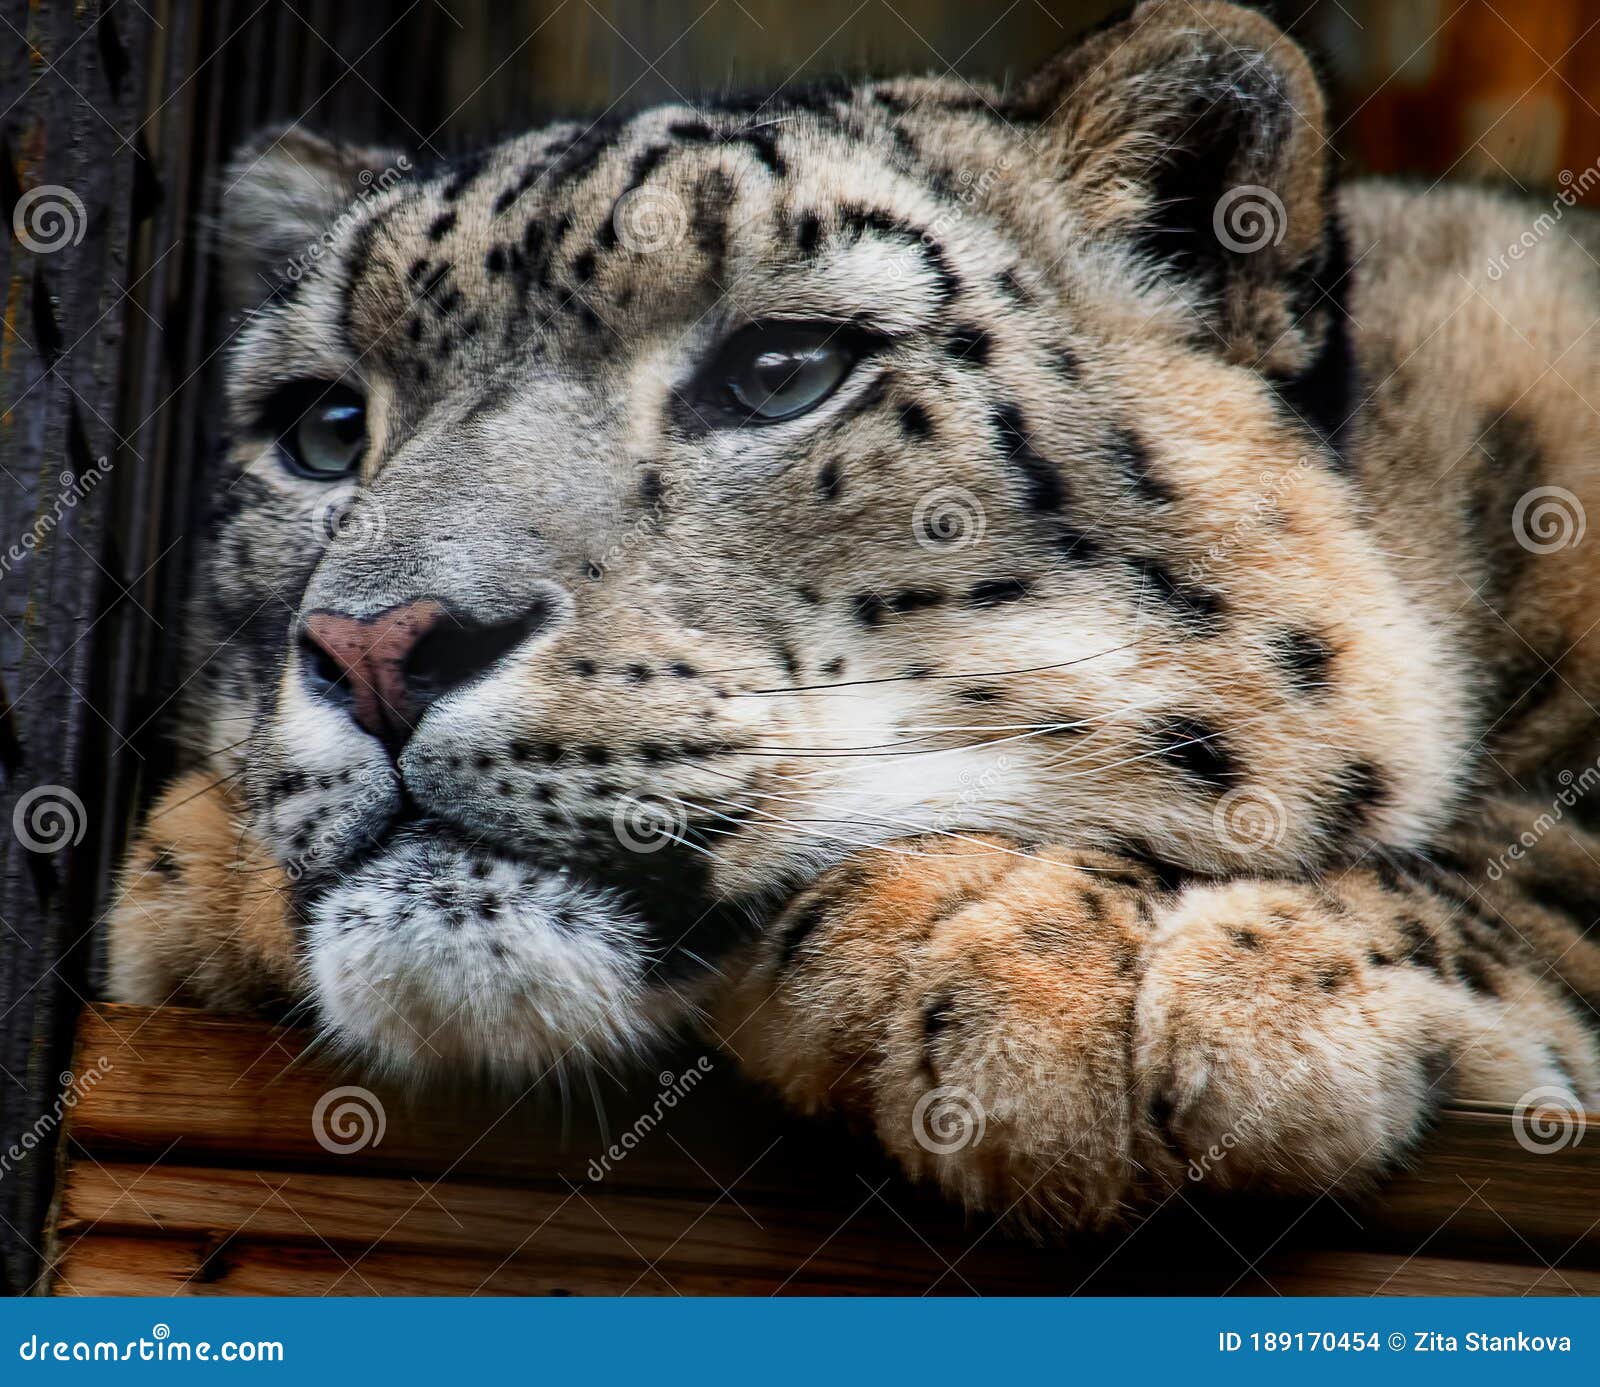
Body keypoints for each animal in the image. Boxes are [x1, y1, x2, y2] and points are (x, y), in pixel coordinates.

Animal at [106, 0, 1600, 1233]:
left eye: (782, 369)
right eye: (323, 426)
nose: (376, 645)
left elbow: (1544, 861)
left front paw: (1048, 950)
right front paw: (199, 873)